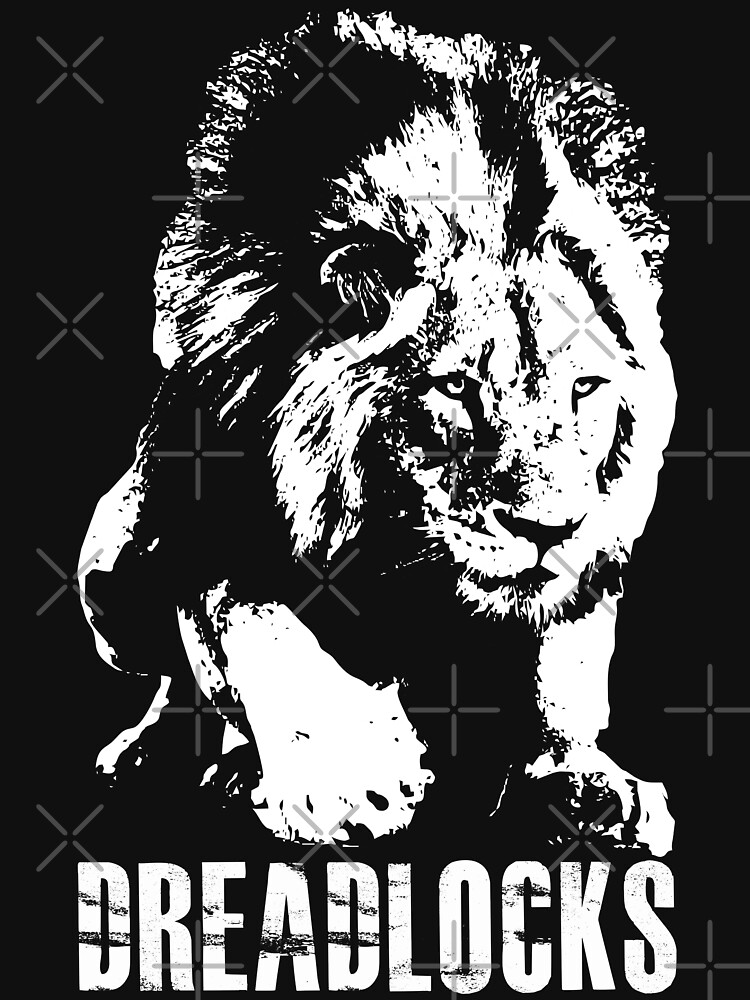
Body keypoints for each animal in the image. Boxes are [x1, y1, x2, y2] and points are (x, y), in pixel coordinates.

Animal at [78, 12, 676, 855]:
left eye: (585, 388)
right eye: (456, 386)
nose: (548, 528)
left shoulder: (592, 557)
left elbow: (562, 657)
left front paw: (585, 776)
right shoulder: (204, 510)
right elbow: (253, 615)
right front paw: (350, 781)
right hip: (111, 563)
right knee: (177, 680)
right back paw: (168, 757)